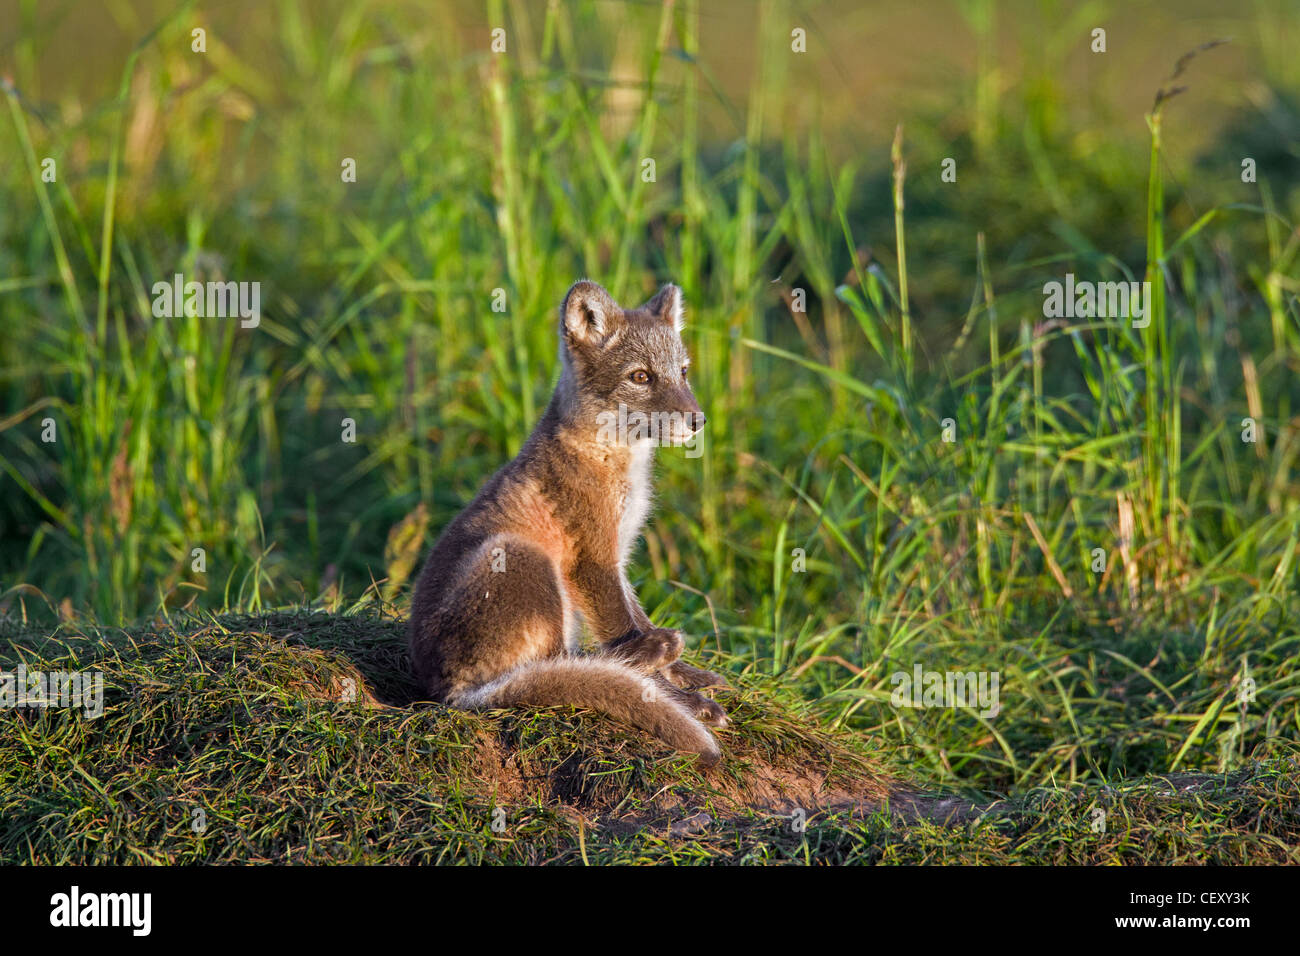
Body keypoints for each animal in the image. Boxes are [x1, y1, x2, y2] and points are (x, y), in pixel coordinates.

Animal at [408, 279, 729, 764]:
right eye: (641, 377)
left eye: (684, 372)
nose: (698, 421)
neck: (617, 463)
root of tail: (449, 695)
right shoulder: (592, 559)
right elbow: (624, 634)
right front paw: (681, 698)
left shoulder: (618, 554)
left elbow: (638, 616)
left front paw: (683, 677)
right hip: (524, 561)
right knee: (576, 663)